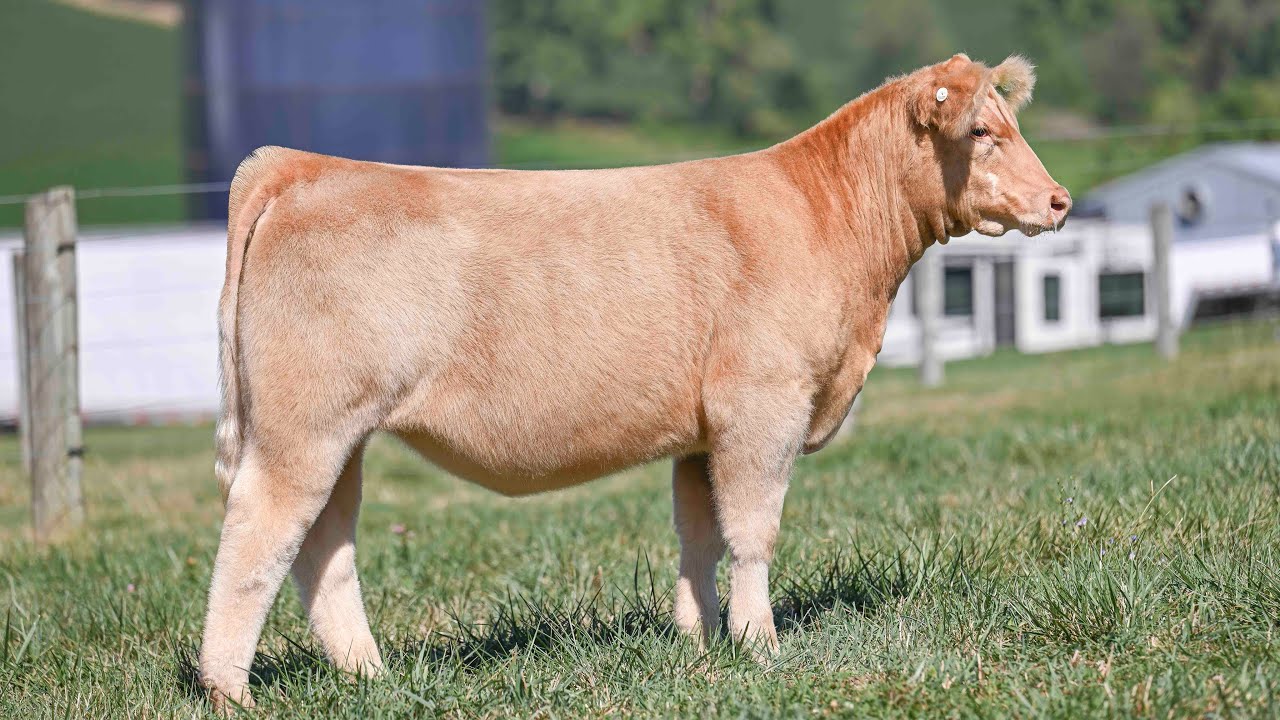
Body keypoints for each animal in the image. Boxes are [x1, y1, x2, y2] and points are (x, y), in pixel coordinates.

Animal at [199, 53, 1068, 710]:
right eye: (982, 131)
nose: (1058, 200)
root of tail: (301, 165)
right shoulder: (763, 405)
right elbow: (753, 531)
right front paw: (761, 645)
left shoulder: (704, 430)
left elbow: (700, 534)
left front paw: (700, 640)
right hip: (304, 427)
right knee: (259, 533)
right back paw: (230, 691)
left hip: (340, 435)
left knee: (323, 547)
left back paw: (369, 675)